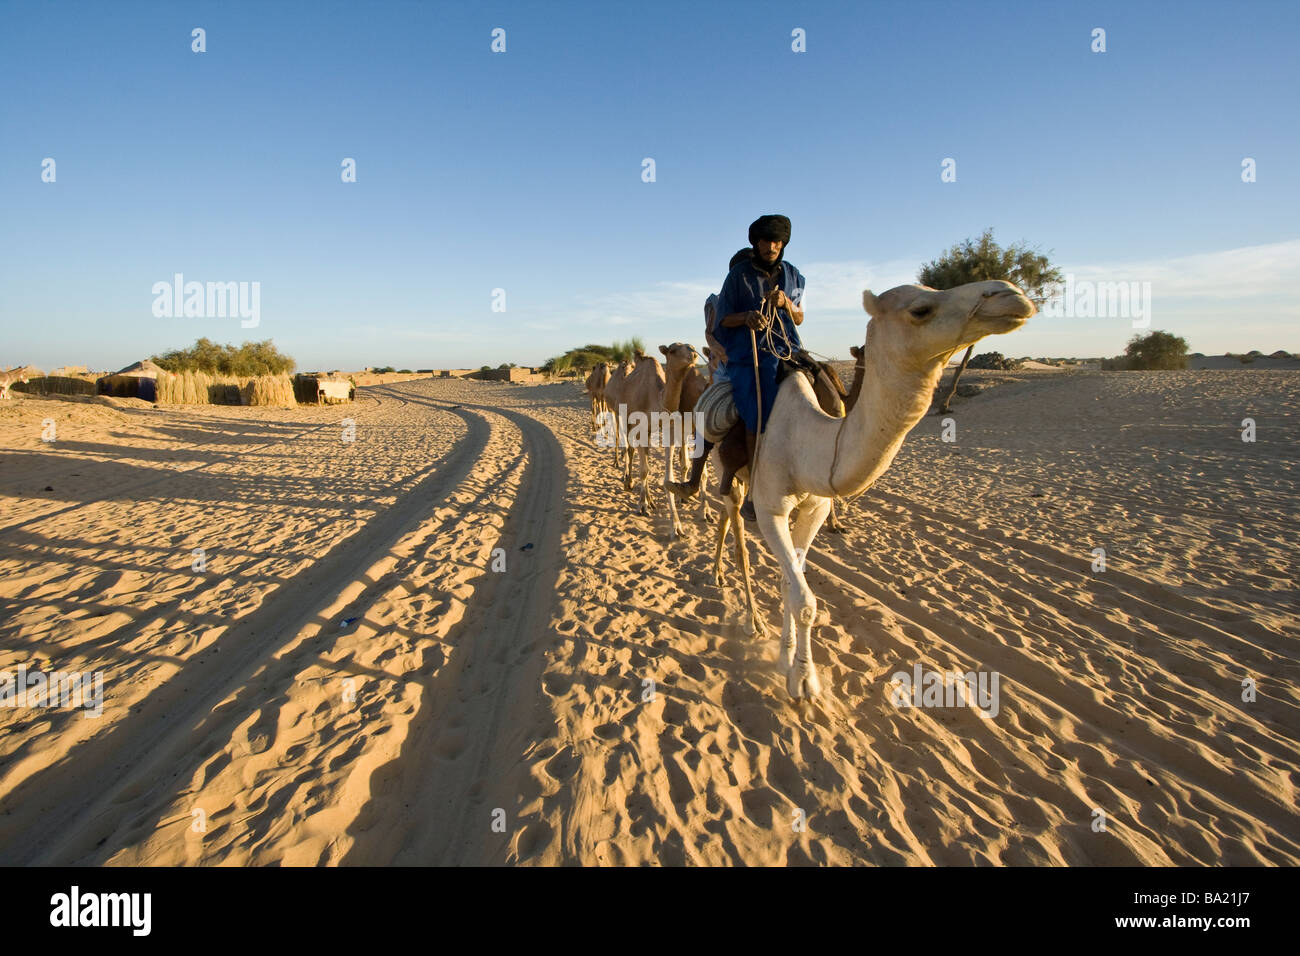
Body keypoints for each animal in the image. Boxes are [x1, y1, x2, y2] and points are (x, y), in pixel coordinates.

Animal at [721, 280, 1035, 698]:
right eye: (921, 308)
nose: (1010, 294)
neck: (807, 440)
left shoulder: (816, 507)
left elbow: (792, 583)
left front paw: (789, 662)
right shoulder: (771, 509)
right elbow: (803, 598)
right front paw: (804, 681)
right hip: (733, 477)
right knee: (735, 528)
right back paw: (746, 614)